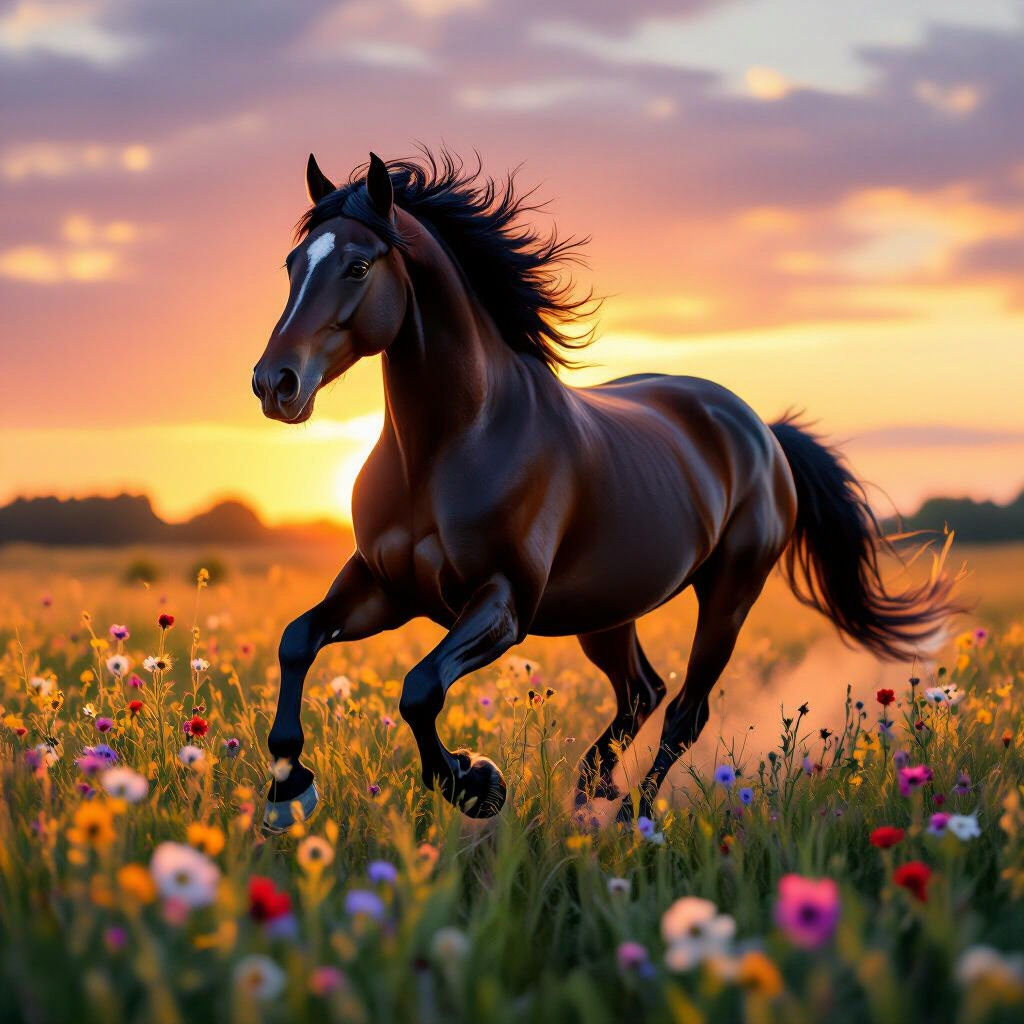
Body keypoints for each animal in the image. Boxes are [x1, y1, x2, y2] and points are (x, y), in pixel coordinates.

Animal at [252, 149, 957, 832]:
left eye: (358, 266)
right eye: (291, 263)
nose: (274, 383)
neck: (449, 448)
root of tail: (761, 430)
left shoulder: (502, 605)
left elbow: (420, 689)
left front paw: (477, 783)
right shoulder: (385, 587)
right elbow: (297, 641)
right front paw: (289, 791)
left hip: (729, 594)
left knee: (684, 712)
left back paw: (632, 820)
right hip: (607, 609)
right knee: (641, 691)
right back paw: (594, 785)